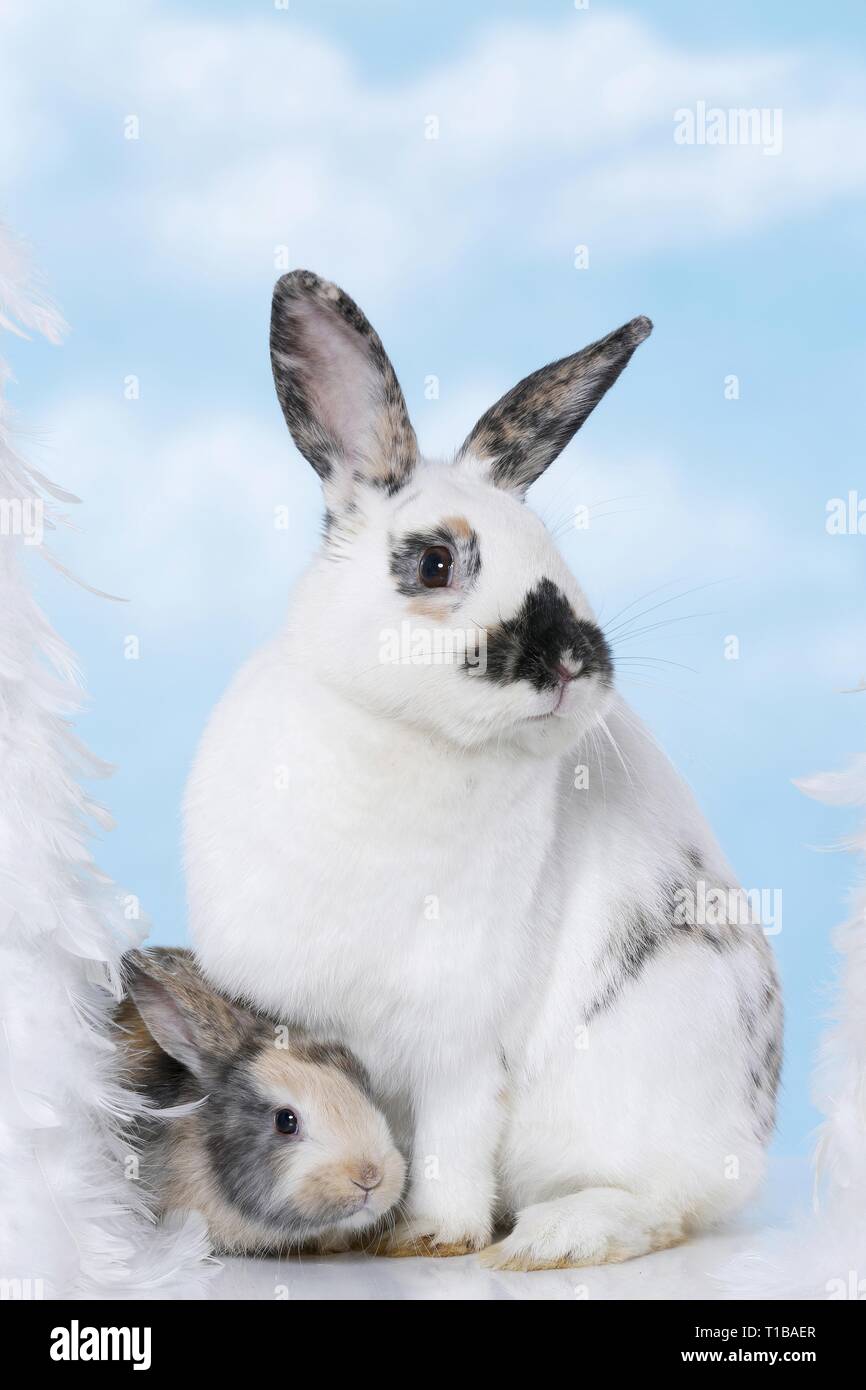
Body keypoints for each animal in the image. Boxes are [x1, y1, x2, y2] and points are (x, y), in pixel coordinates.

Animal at [184, 269, 782, 1269]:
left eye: (560, 561)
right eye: (435, 562)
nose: (572, 660)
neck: (406, 736)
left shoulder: (462, 1039)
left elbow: (455, 1137)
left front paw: (432, 1236)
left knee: (664, 1203)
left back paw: (555, 1239)